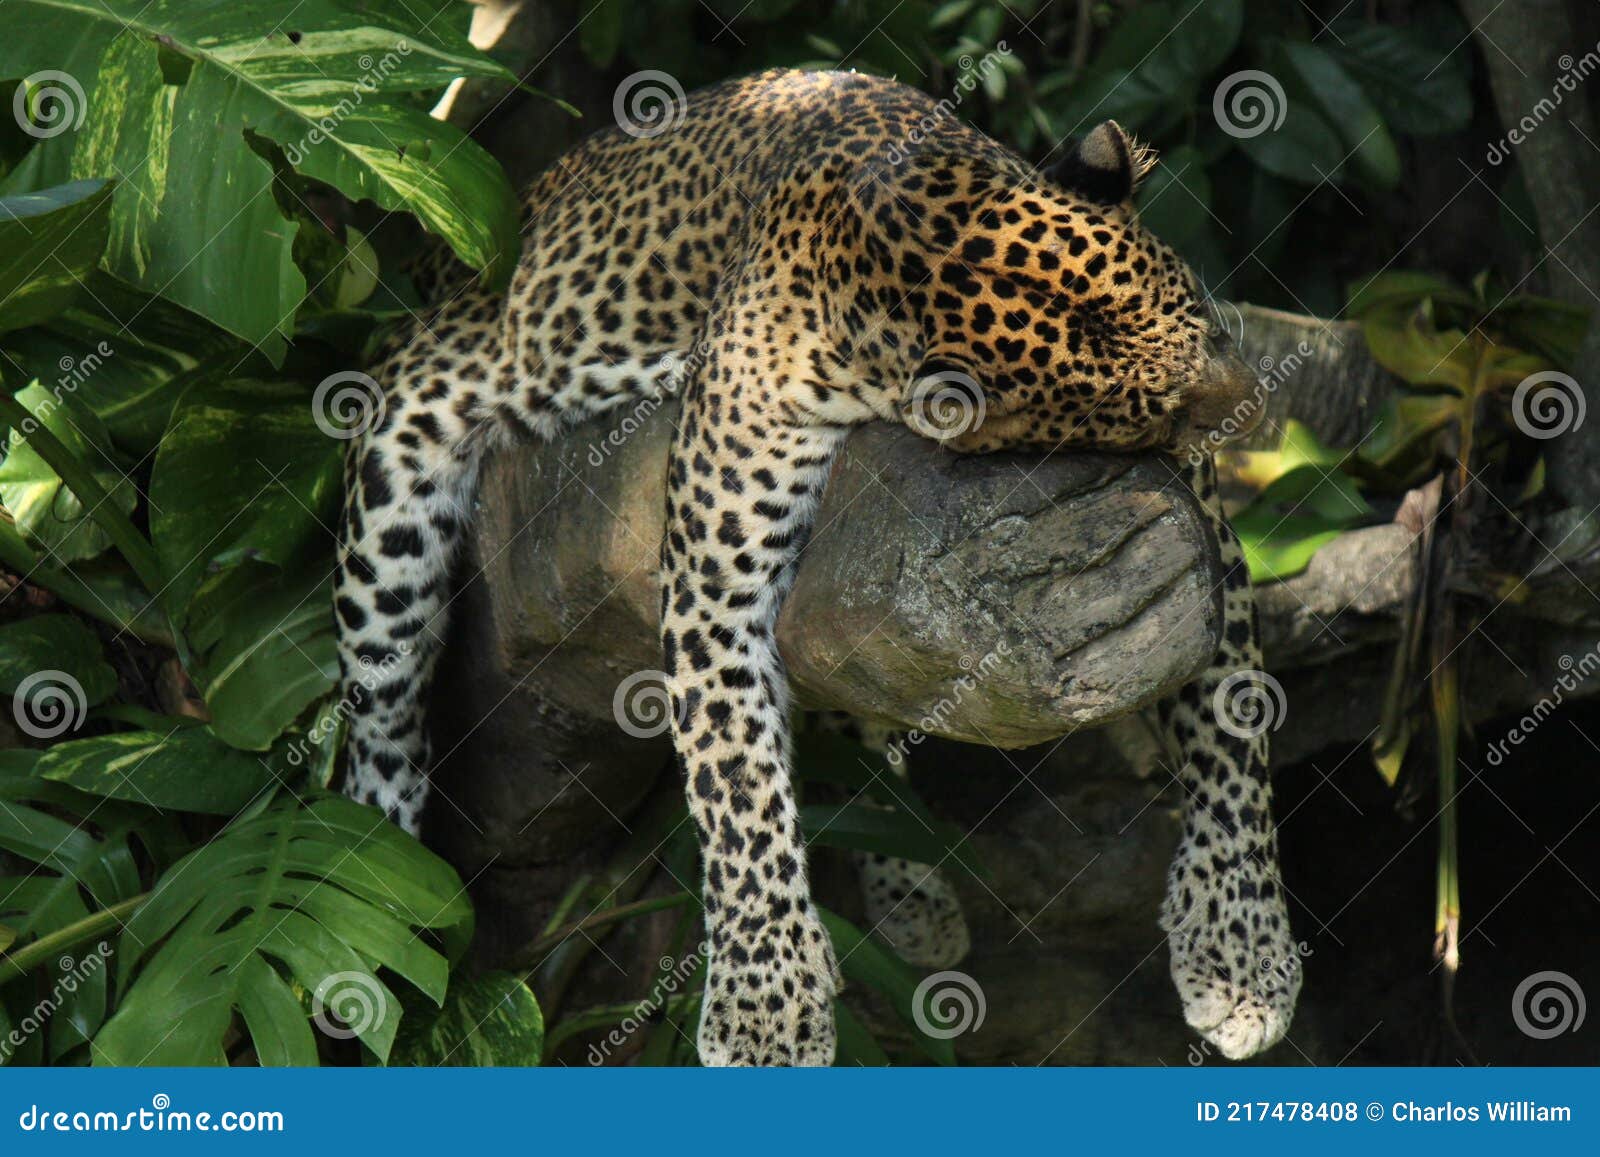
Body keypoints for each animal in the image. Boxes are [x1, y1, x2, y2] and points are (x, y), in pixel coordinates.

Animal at [333, 67, 1301, 1066]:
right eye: (1154, 410)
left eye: (1209, 327)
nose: (1248, 411)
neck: (904, 243)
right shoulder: (714, 583)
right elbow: (736, 785)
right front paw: (765, 1013)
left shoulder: (1204, 530)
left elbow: (1230, 717)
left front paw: (1240, 949)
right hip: (401, 468)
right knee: (380, 717)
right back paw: (378, 892)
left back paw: (913, 895)